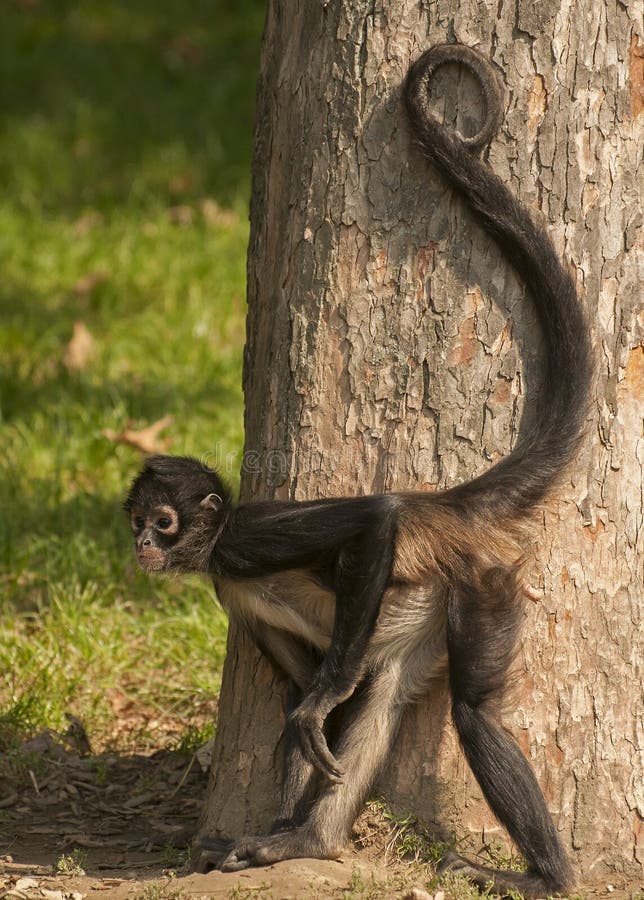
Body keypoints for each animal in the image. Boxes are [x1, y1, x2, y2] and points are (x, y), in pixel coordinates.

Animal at [124, 44, 592, 898]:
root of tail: (443, 505)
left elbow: (368, 526)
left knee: (471, 709)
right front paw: (281, 821)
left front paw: (319, 705)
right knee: (381, 701)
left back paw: (546, 876)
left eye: (164, 523)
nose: (143, 545)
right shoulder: (229, 589)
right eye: (136, 521)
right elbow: (298, 703)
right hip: (420, 625)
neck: (218, 555)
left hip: (479, 578)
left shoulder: (249, 539)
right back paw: (304, 841)